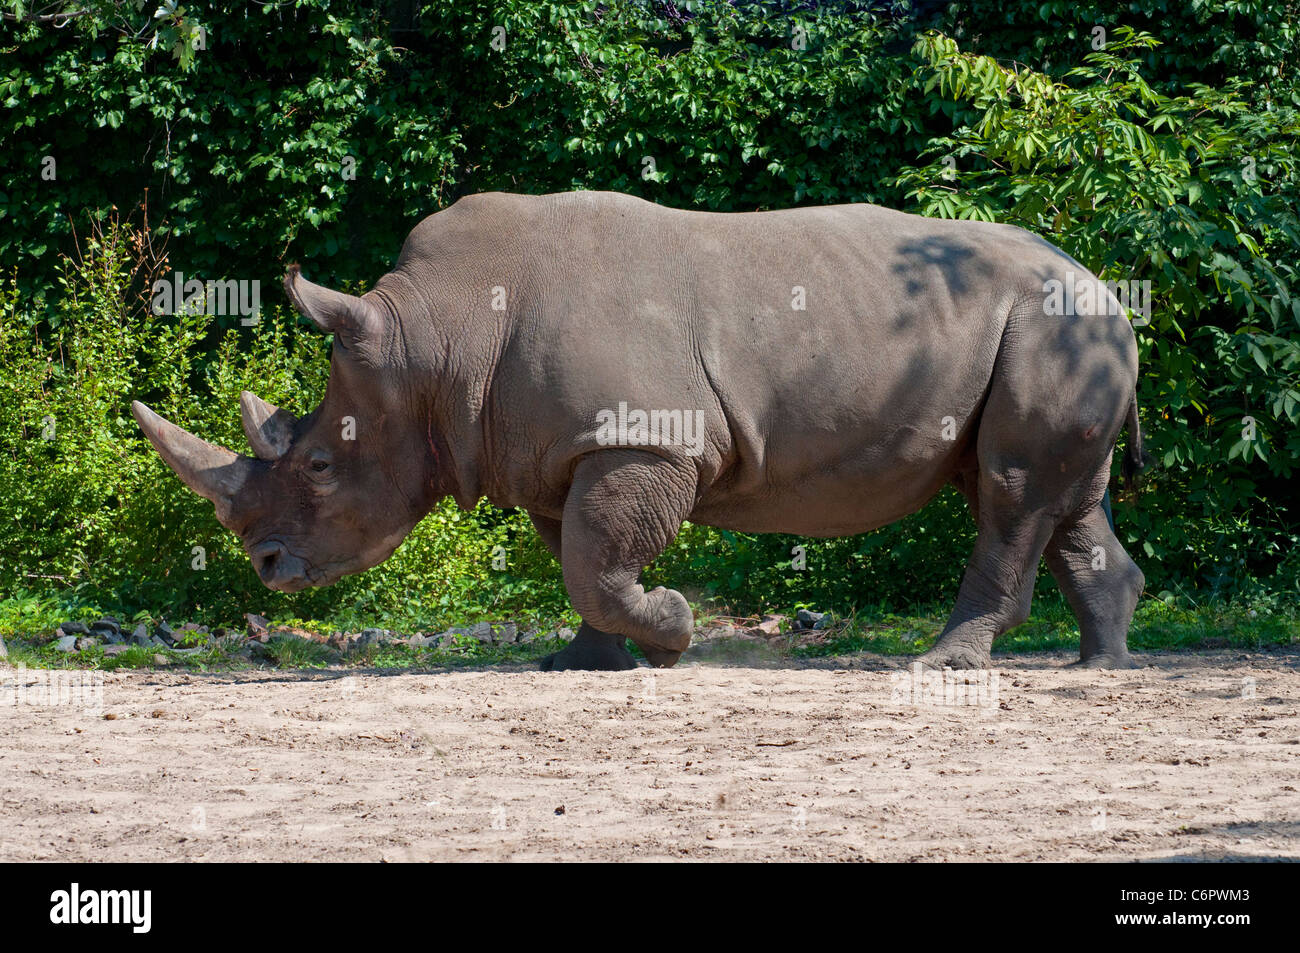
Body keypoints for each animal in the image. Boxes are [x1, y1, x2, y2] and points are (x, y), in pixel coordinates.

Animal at [133, 190, 1148, 671]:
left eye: (315, 463)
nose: (265, 564)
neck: (433, 342)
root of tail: (1108, 287)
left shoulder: (643, 438)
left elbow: (596, 556)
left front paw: (674, 630)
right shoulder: (555, 448)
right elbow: (578, 557)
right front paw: (581, 661)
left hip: (1050, 323)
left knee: (1009, 492)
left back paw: (941, 662)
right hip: (1060, 330)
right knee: (1046, 494)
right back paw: (1099, 664)